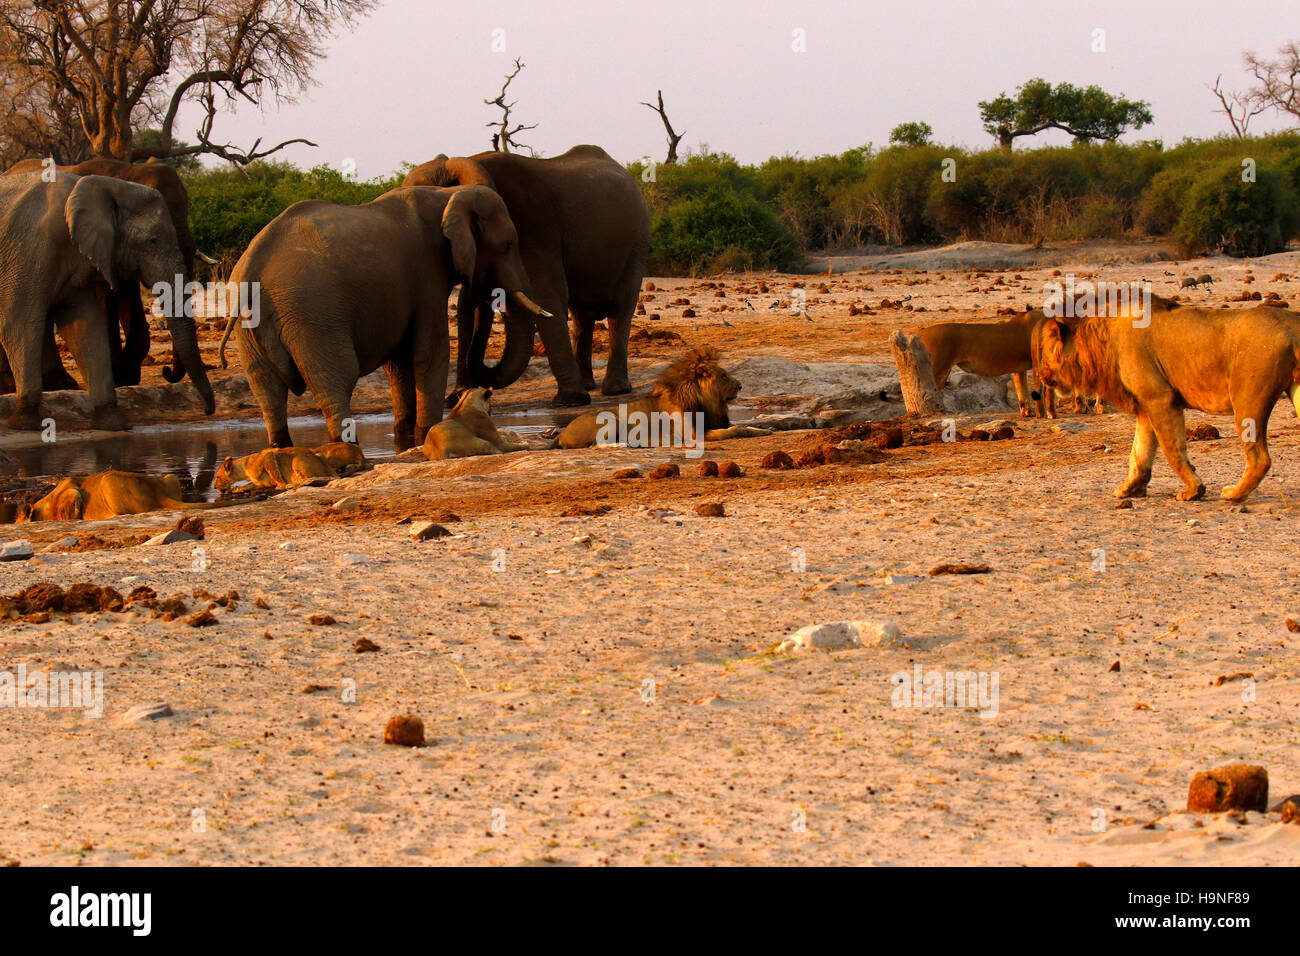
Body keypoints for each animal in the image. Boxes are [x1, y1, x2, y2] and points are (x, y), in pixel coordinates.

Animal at [556, 346, 771, 449]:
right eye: (724, 376)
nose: (740, 386)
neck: (711, 403)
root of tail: (562, 433)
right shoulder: (694, 435)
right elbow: (734, 430)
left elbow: (745, 426)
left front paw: (764, 430)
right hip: (611, 420)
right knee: (596, 445)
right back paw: (627, 444)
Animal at [1035, 297, 1300, 502]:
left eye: (1045, 351)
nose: (1041, 375)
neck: (1099, 342)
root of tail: (1293, 325)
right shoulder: (1145, 406)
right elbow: (1139, 454)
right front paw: (1129, 489)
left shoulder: (1160, 398)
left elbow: (1172, 451)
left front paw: (1194, 490)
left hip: (1247, 399)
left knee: (1259, 458)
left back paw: (1234, 494)